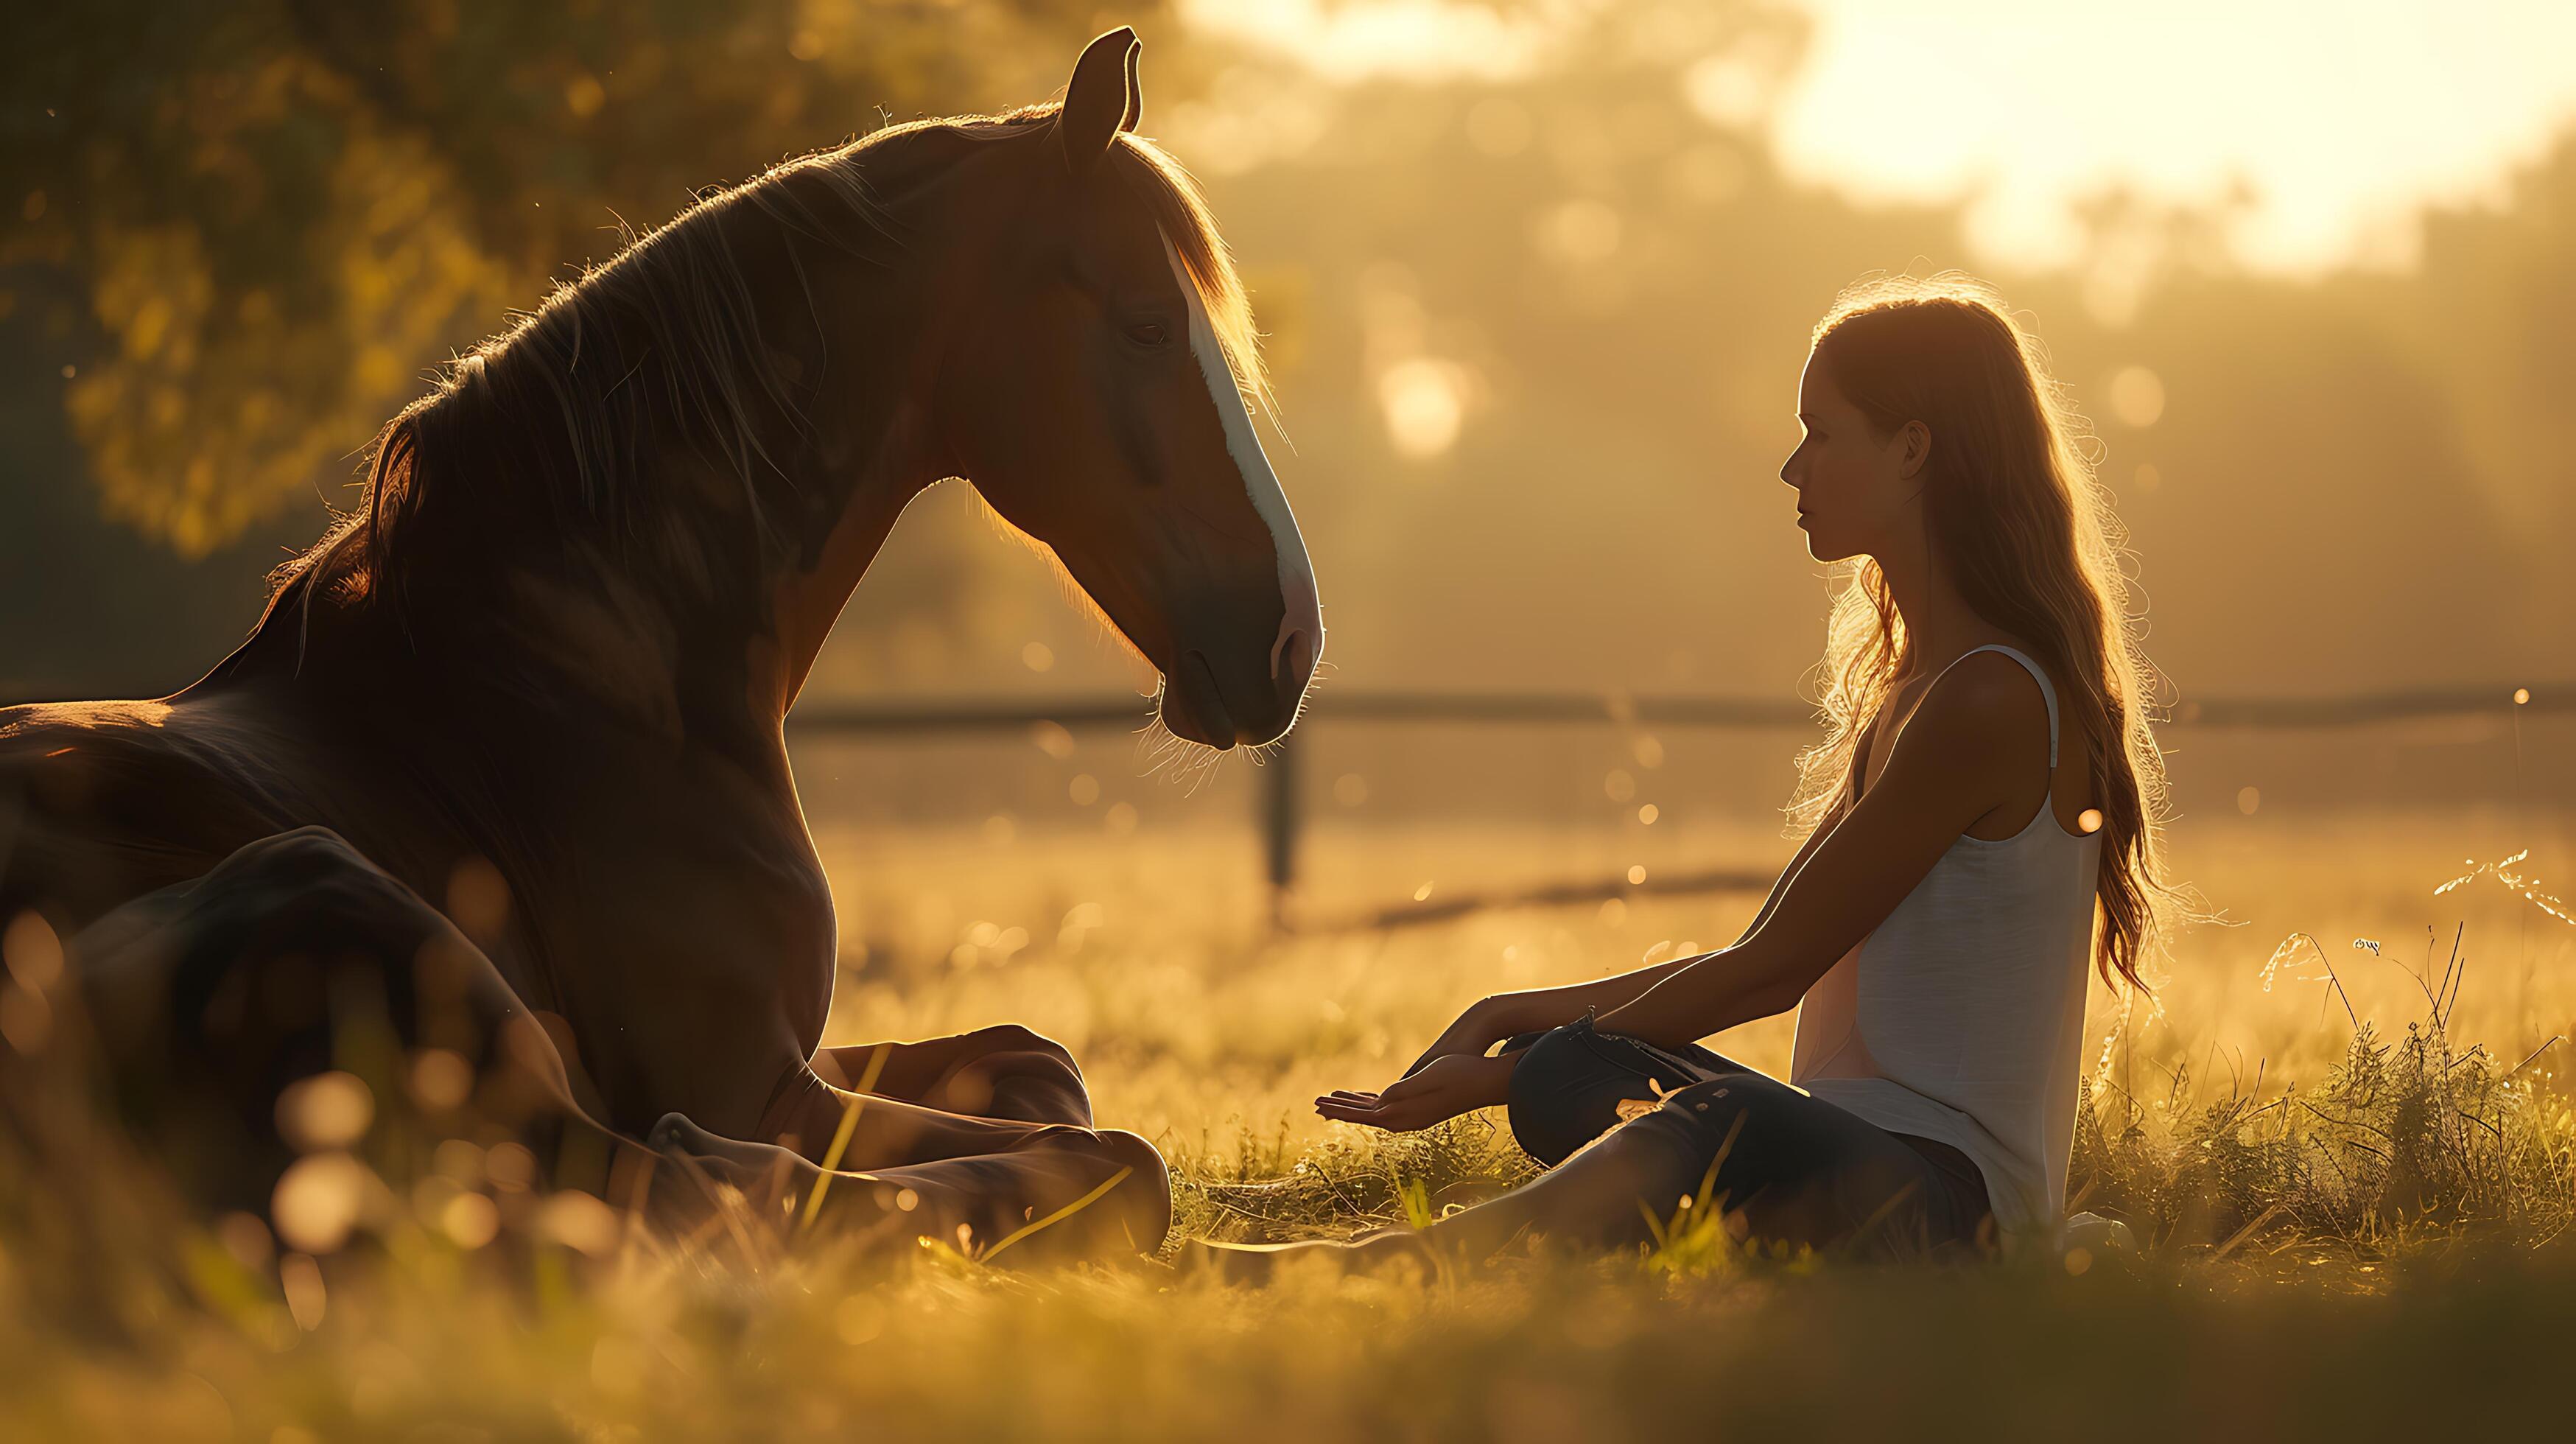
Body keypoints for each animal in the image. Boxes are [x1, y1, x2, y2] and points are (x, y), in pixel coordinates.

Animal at [0, 28, 1320, 1266]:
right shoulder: (758, 1081)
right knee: (684, 1182)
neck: (567, 680)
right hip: (352, 902)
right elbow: (1096, 1139)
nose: (1291, 641)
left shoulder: (811, 1050)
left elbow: (1036, 1056)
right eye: (1146, 326)